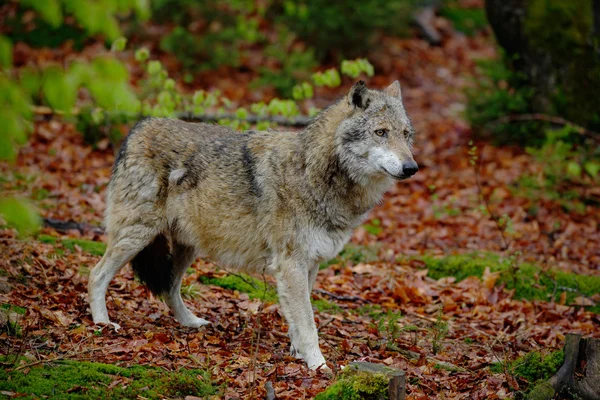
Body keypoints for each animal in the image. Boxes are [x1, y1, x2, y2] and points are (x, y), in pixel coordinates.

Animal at [88, 79, 418, 370]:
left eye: (405, 134)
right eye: (380, 132)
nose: (412, 167)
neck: (314, 173)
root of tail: (137, 128)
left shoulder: (310, 264)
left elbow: (298, 319)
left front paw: (298, 355)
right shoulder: (291, 264)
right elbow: (308, 322)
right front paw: (319, 365)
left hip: (187, 247)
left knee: (169, 289)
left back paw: (191, 323)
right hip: (138, 236)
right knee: (96, 274)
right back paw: (102, 322)